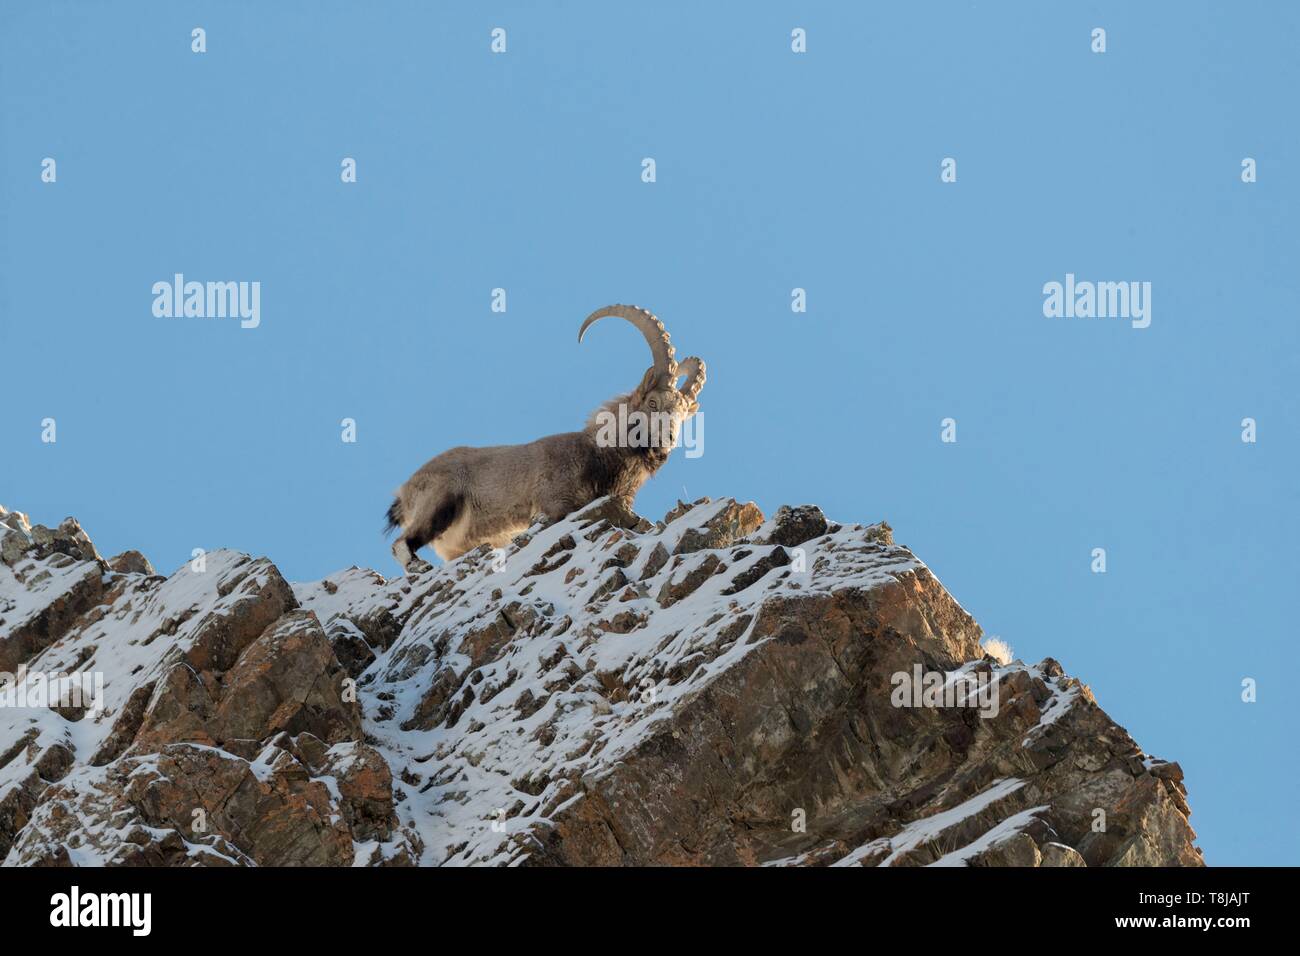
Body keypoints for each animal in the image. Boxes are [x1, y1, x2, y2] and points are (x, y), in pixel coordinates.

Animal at [384, 304, 706, 571]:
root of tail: (404, 492)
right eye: (653, 402)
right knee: (402, 544)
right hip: (440, 502)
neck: (597, 455)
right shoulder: (552, 503)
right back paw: (418, 566)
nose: (668, 440)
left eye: (682, 415)